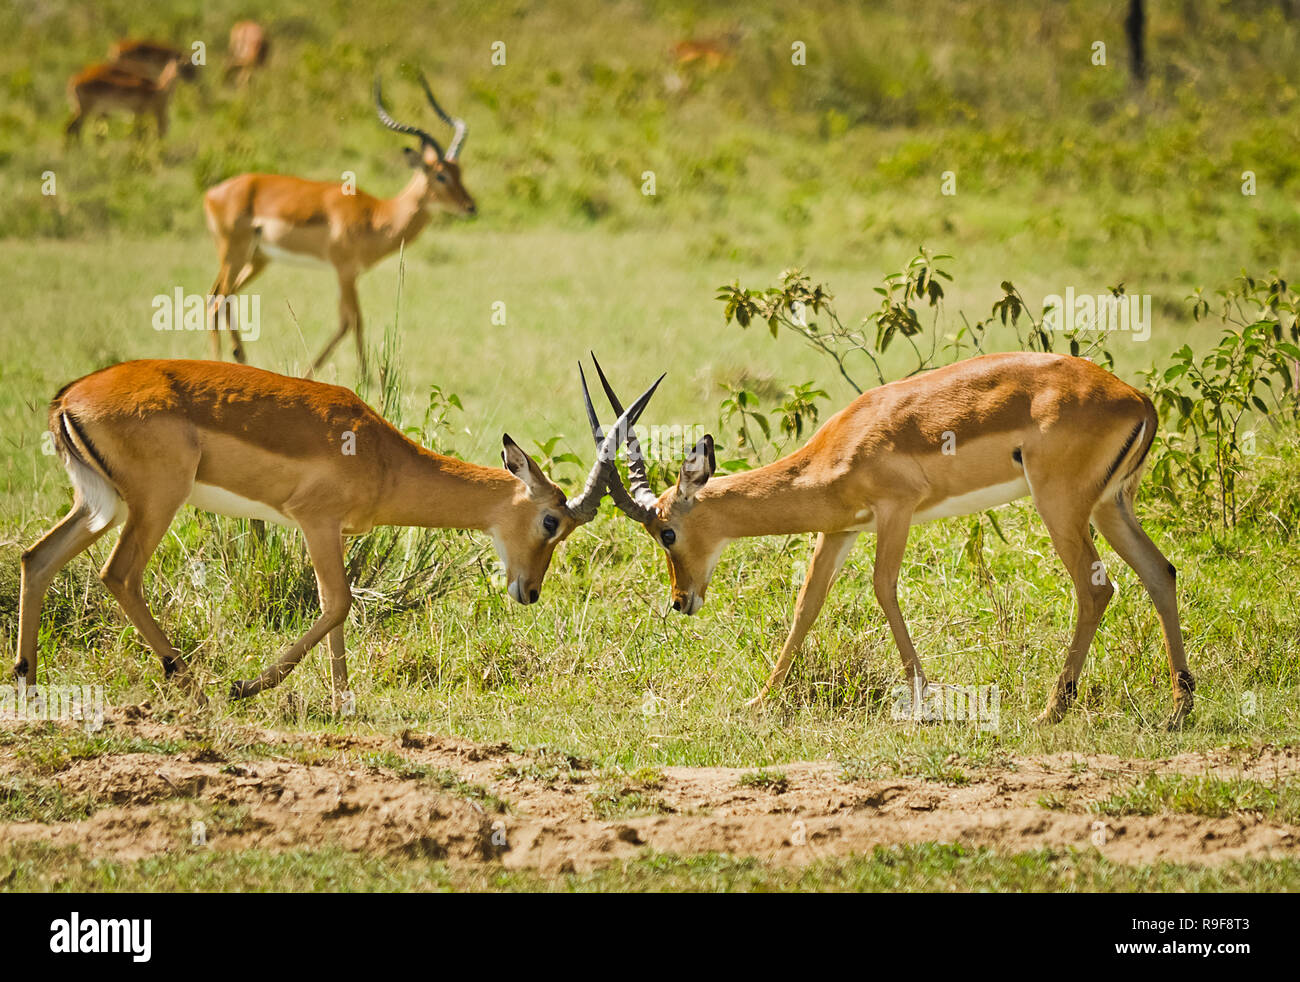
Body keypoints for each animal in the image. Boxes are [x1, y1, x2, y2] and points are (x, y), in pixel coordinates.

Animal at [14, 360, 661, 706]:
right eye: (552, 521)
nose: (529, 592)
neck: (381, 454)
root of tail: (69, 397)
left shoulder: (335, 533)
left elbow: (335, 609)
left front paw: (342, 700)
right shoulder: (316, 522)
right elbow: (341, 603)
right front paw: (250, 686)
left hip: (101, 507)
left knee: (36, 558)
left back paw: (28, 681)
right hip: (153, 505)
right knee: (118, 574)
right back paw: (193, 681)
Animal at [202, 73, 474, 377]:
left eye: (459, 171)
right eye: (441, 175)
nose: (470, 207)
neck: (377, 216)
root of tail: (213, 192)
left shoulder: (348, 274)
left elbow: (346, 320)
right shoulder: (345, 271)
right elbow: (353, 321)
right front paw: (364, 378)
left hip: (256, 259)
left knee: (217, 296)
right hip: (235, 254)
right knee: (218, 300)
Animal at [585, 352, 1194, 727]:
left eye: (666, 531)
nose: (680, 601)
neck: (839, 448)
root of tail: (1136, 398)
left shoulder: (895, 512)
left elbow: (883, 588)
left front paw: (925, 702)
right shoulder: (840, 529)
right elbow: (808, 603)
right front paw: (759, 700)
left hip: (1061, 507)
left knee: (1097, 589)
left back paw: (1051, 711)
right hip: (1111, 506)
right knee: (1161, 572)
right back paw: (1178, 710)